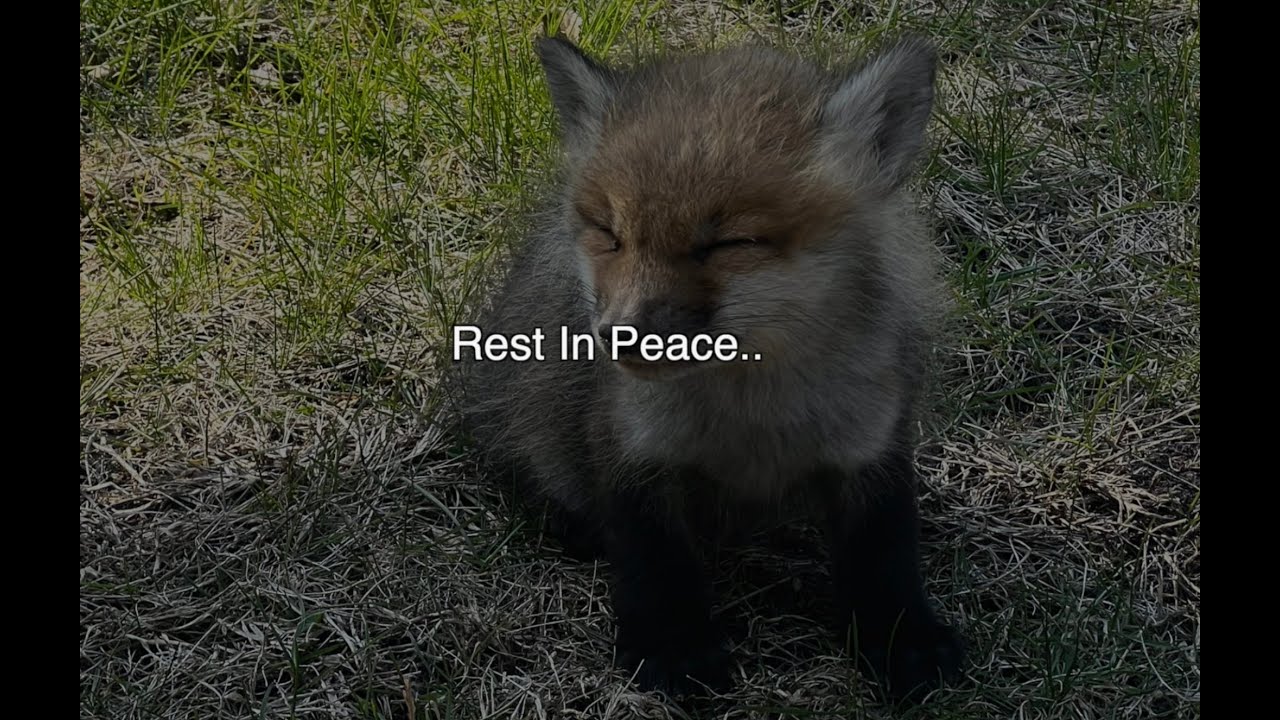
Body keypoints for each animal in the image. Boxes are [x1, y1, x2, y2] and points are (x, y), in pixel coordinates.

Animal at [450, 33, 964, 704]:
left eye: (727, 245)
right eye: (610, 234)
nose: (618, 337)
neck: (753, 414)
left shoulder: (872, 444)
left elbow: (885, 553)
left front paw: (903, 639)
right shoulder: (632, 449)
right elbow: (655, 561)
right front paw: (675, 649)